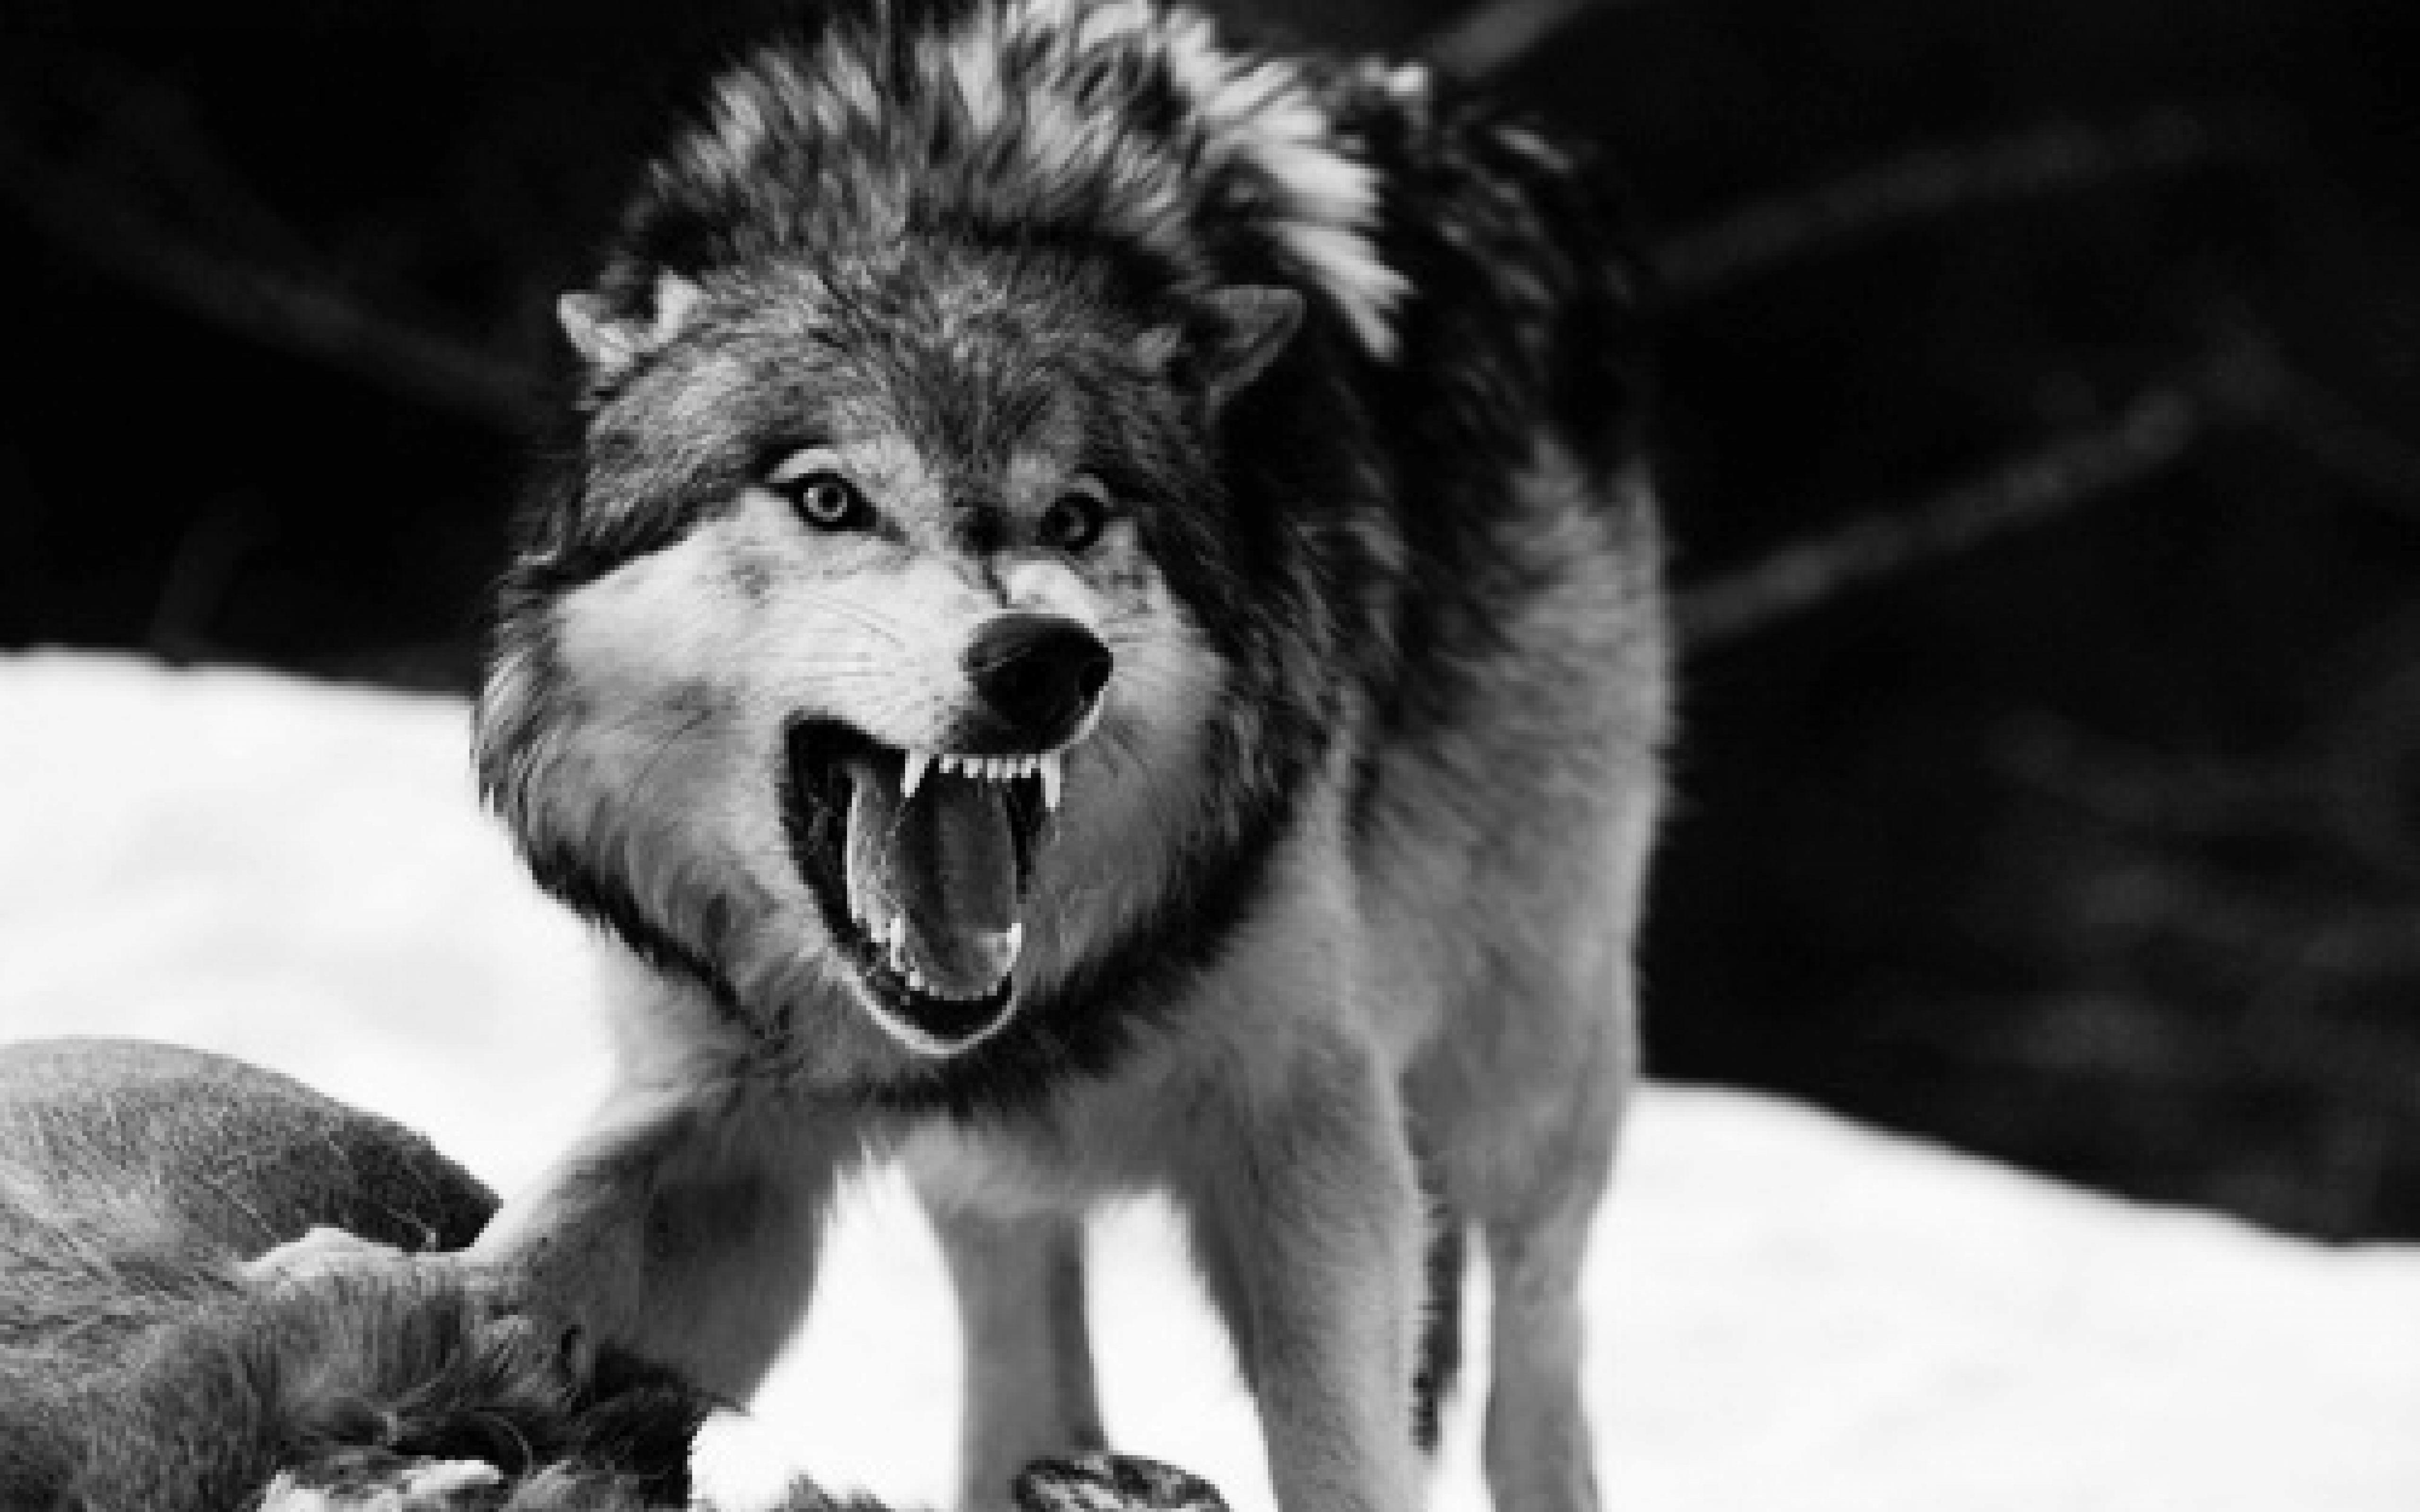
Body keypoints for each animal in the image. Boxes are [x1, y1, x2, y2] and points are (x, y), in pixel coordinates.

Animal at [454, 3, 1667, 1511]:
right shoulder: (721, 1114)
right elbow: (537, 1240)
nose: (1044, 659)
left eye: (1080, 516)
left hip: (1526, 1073)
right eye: (828, 497)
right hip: (990, 1203)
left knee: (1538, 1373)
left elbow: (1342, 1440)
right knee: (1027, 1368)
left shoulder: (1306, 1122)